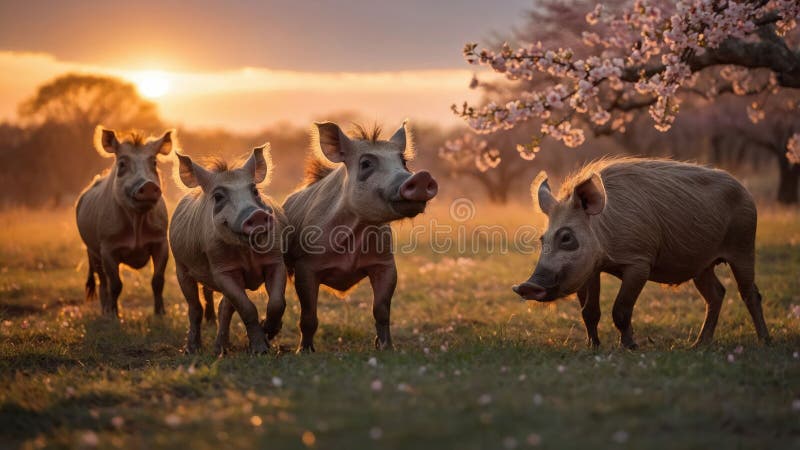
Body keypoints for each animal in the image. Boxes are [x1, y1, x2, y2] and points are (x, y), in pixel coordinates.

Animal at [76, 126, 174, 317]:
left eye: (154, 163)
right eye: (122, 164)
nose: (148, 185)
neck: (137, 222)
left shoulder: (161, 242)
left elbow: (158, 280)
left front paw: (160, 314)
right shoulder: (107, 247)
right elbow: (116, 284)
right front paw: (114, 315)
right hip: (91, 250)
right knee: (102, 281)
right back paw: (104, 311)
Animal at [169, 145, 287, 354]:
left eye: (255, 191)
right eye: (218, 196)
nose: (256, 214)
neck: (247, 254)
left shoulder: (276, 261)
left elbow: (276, 302)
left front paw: (268, 332)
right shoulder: (222, 271)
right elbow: (247, 308)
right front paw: (260, 351)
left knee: (224, 308)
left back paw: (221, 350)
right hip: (180, 268)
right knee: (195, 308)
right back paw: (193, 350)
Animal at [283, 121, 438, 352]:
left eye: (403, 162)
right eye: (366, 163)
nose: (422, 176)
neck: (357, 233)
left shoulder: (385, 264)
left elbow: (381, 311)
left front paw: (386, 348)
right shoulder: (305, 266)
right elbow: (309, 315)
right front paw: (304, 352)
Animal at [512, 158, 771, 349]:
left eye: (566, 238)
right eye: (542, 239)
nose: (525, 286)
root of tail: (746, 191)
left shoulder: (639, 263)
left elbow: (621, 309)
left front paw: (630, 348)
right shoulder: (592, 270)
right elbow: (589, 312)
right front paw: (593, 347)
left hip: (744, 245)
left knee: (750, 293)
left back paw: (764, 342)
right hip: (701, 264)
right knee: (717, 293)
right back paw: (697, 345)